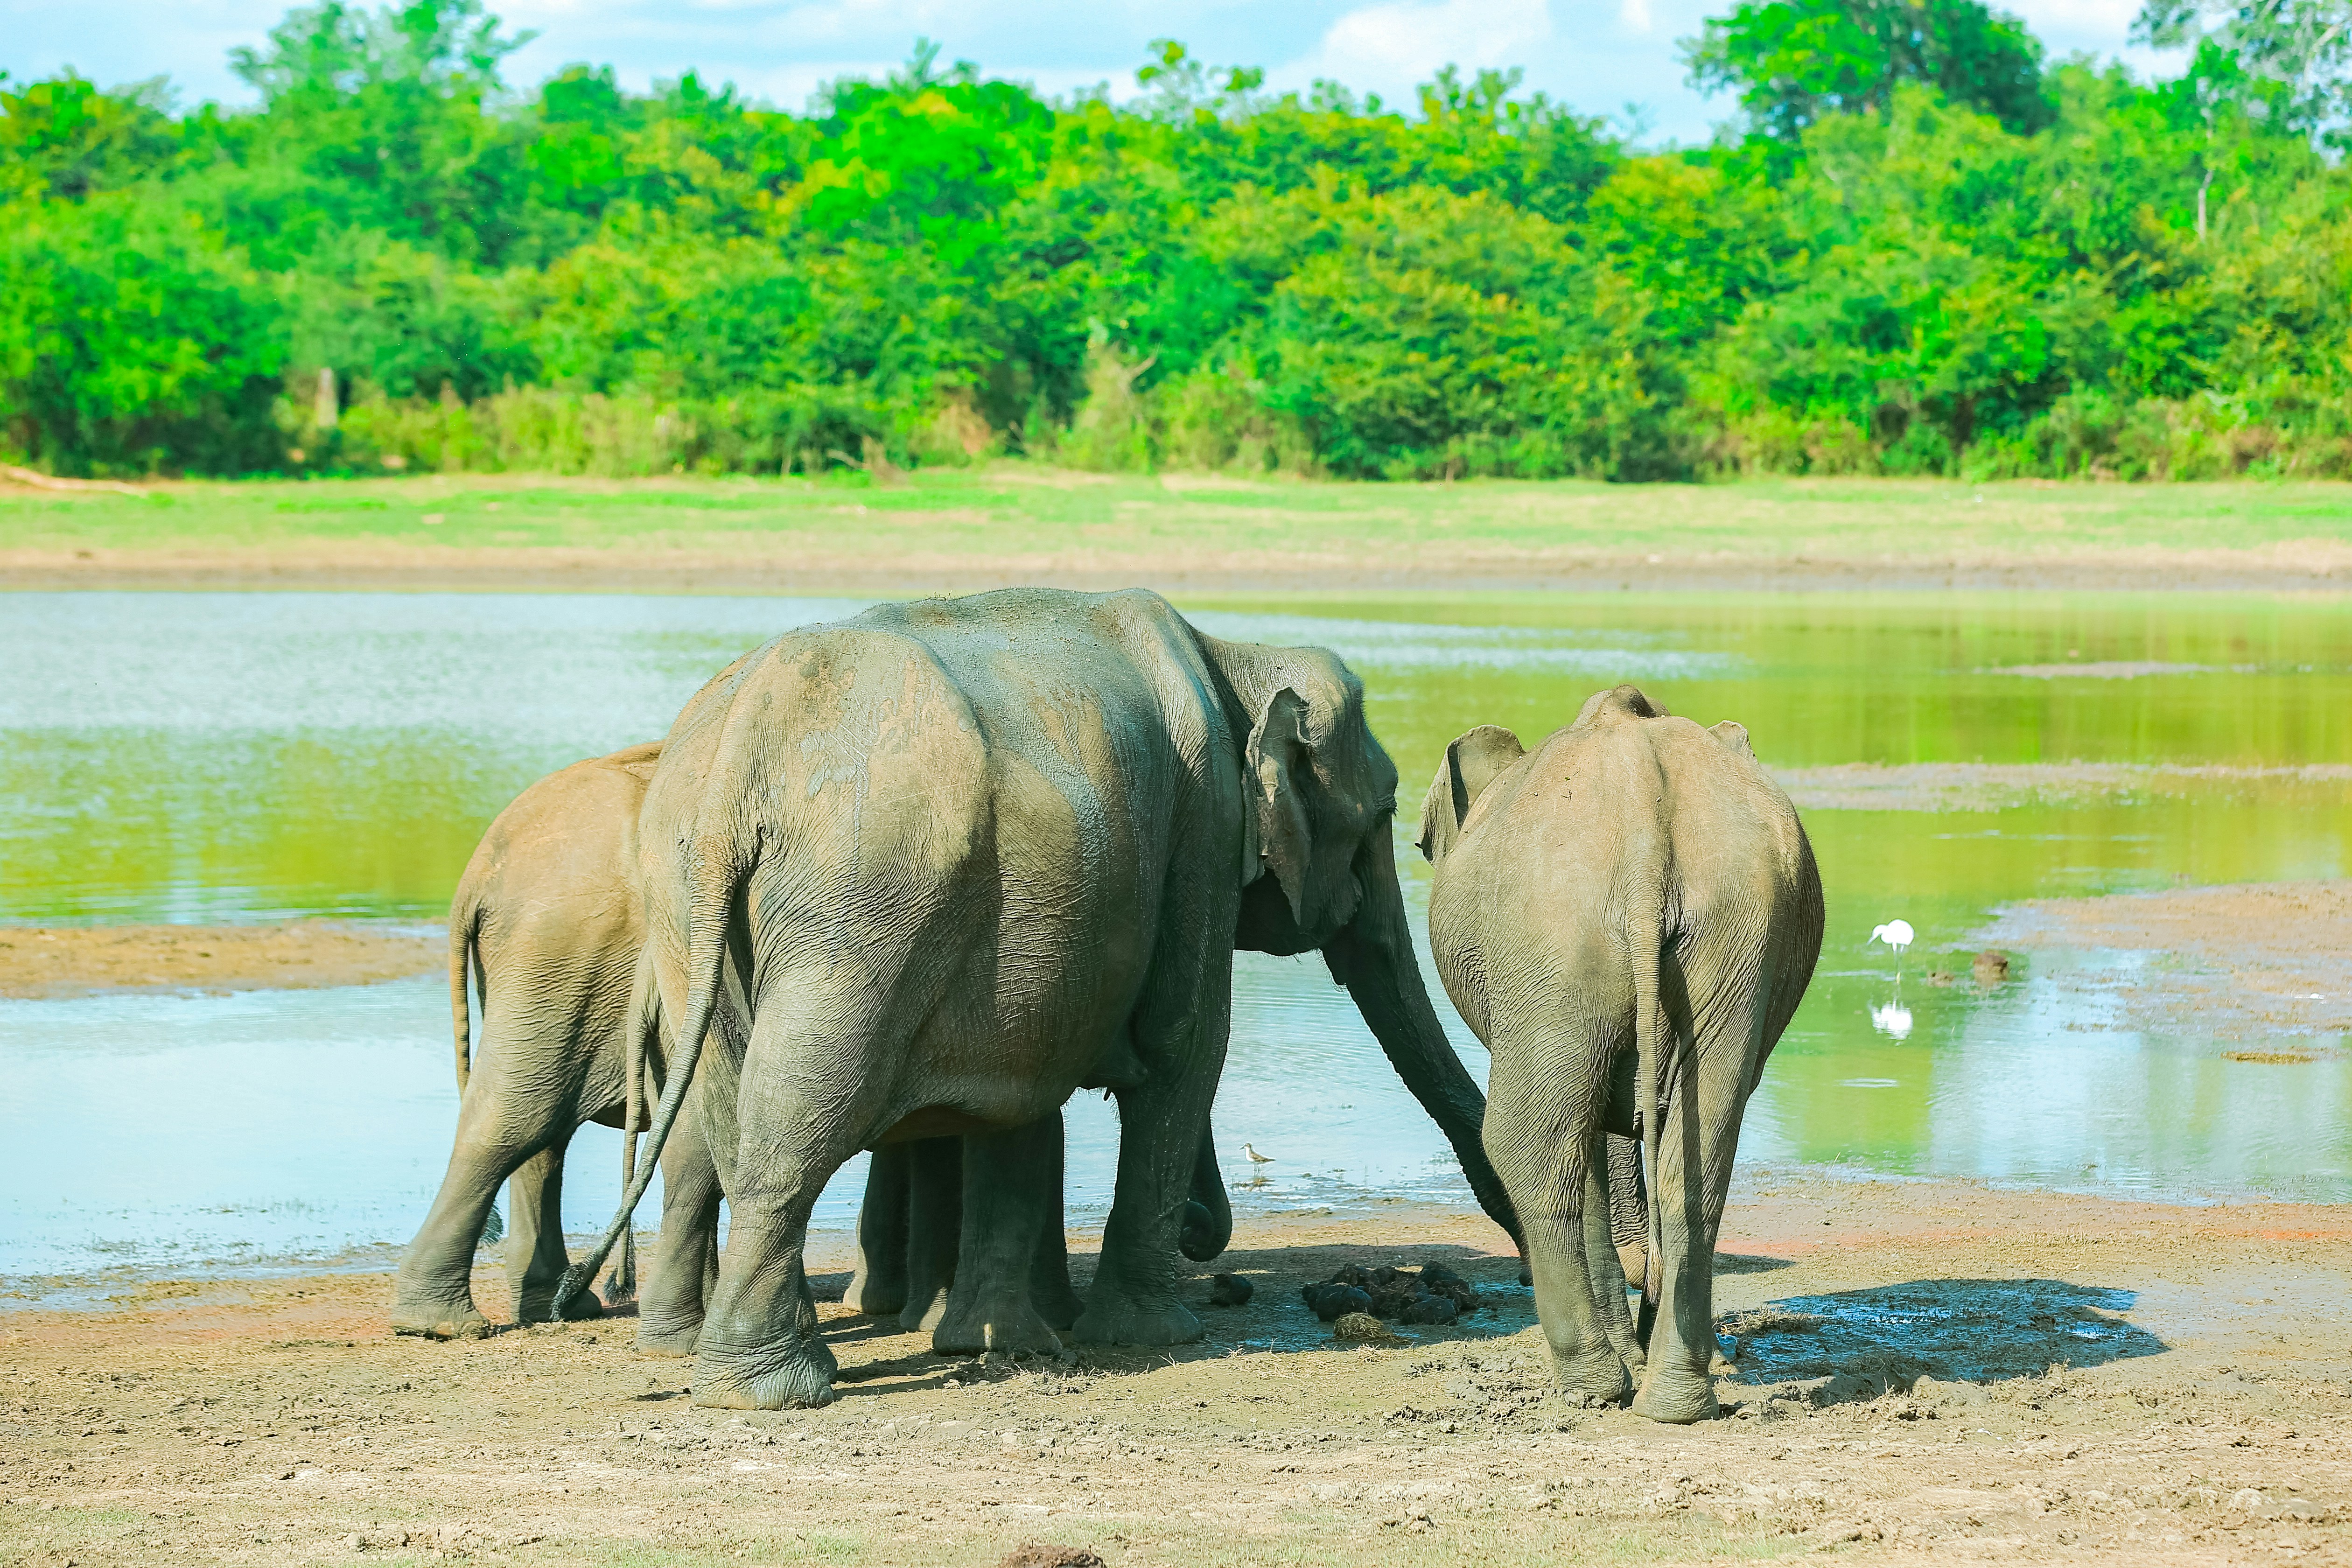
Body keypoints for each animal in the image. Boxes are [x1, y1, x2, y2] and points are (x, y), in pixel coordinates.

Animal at [390, 743, 728, 1351]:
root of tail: (479, 870)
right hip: (561, 953)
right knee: (515, 1118)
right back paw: (443, 1324)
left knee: (544, 1128)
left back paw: (560, 1305)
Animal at [558, 587, 1517, 1409]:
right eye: (1384, 816)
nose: (1513, 1250)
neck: (1234, 654)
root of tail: (741, 754)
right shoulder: (1204, 827)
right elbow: (1185, 1044)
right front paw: (1150, 1337)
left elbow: (1026, 1082)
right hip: (862, 896)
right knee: (801, 1105)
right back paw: (775, 1387)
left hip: (690, 907)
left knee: (733, 1103)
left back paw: (770, 1371)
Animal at [1416, 684, 1823, 1424]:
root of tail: (1642, 830)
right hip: (1735, 932)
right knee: (1698, 1157)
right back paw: (1675, 1399)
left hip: (1549, 937)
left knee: (1534, 1145)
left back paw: (1593, 1384)